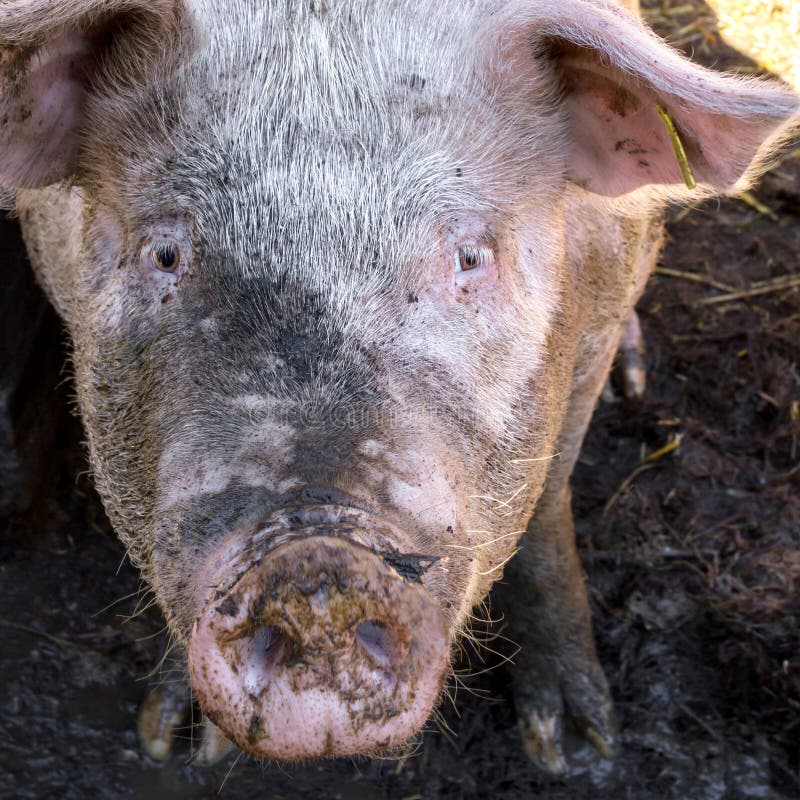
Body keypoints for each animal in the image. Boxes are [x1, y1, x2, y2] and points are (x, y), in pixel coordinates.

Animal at [1, 0, 797, 772]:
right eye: (165, 253)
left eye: (470, 256)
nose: (315, 563)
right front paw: (174, 742)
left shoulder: (598, 317)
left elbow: (547, 512)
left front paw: (576, 750)